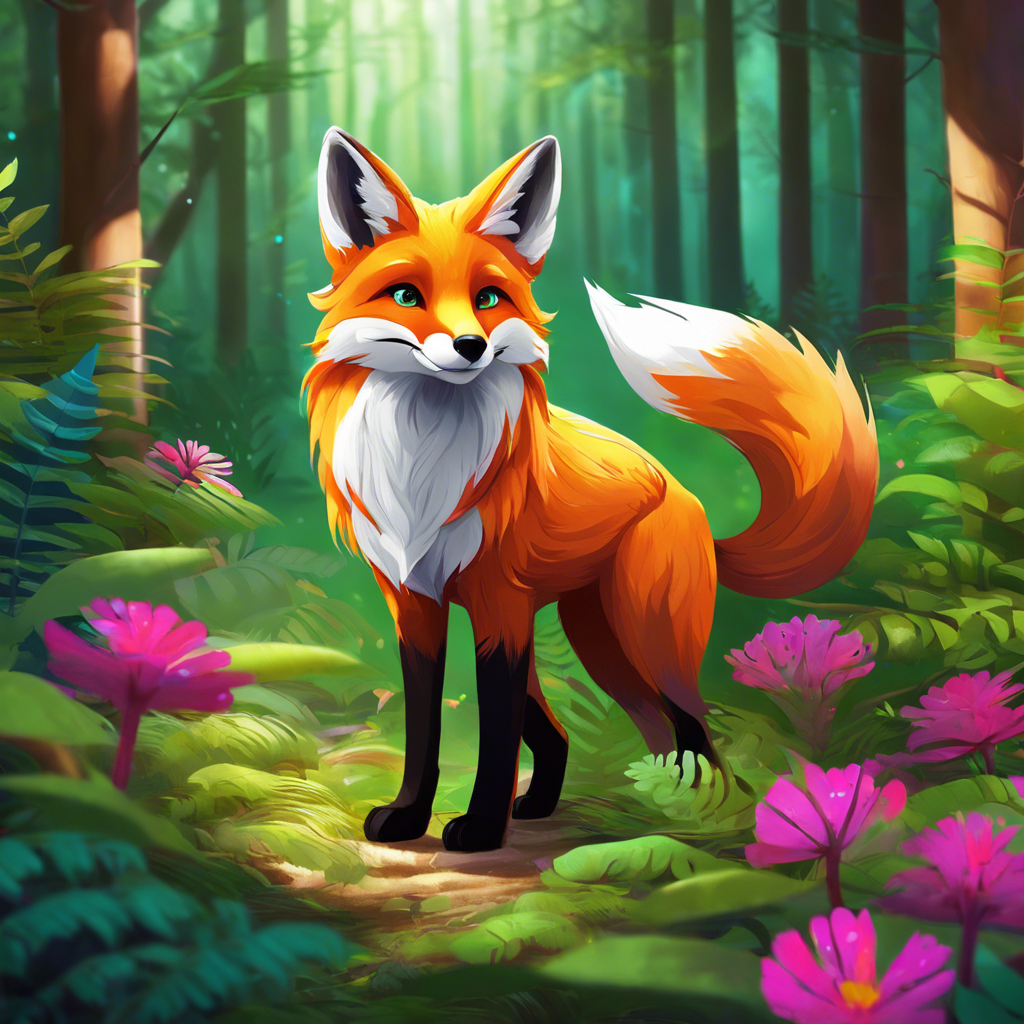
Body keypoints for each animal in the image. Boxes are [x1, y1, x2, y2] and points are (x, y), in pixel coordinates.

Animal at [303, 128, 879, 853]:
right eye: (406, 296)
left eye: (488, 299)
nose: (469, 346)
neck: (423, 467)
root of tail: (689, 499)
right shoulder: (418, 605)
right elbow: (425, 726)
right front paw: (408, 816)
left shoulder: (498, 606)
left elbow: (494, 734)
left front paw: (481, 827)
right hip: (599, 643)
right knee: (593, 735)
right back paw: (607, 808)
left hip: (643, 637)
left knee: (693, 728)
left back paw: (698, 819)